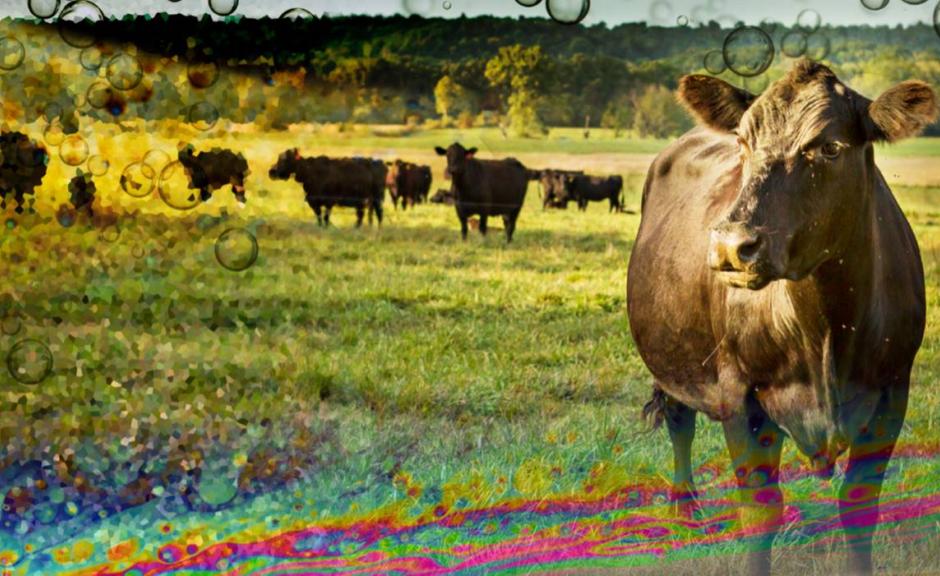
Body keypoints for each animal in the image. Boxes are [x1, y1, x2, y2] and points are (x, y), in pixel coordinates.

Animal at [626, 59, 936, 576]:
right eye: (744, 143)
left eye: (829, 147)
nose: (732, 245)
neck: (826, 331)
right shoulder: (740, 394)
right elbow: (760, 513)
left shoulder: (893, 391)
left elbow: (858, 507)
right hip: (673, 356)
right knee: (678, 421)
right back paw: (686, 511)